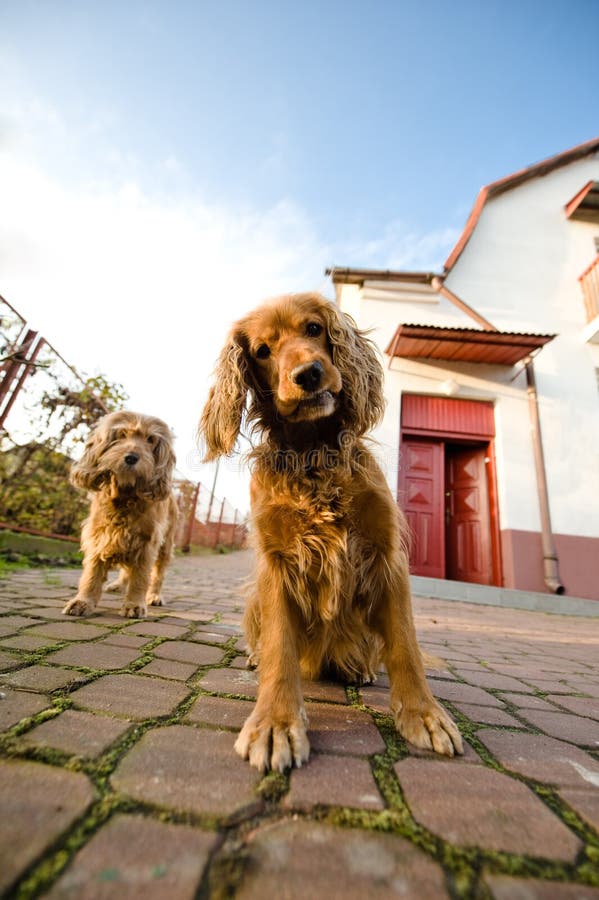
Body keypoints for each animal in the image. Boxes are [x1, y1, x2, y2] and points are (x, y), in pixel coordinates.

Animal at [65, 410, 179, 616]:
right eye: (122, 434)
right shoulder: (100, 534)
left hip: (166, 544)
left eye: (150, 439)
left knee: (158, 573)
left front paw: (134, 604)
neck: (126, 494)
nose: (131, 458)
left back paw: (154, 595)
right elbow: (92, 572)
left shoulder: (147, 540)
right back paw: (118, 585)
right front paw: (83, 601)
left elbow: (141, 576)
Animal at [202, 292, 464, 768]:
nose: (307, 373)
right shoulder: (277, 564)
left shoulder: (386, 557)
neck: (313, 455)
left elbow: (405, 645)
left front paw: (424, 714)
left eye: (313, 328)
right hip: (253, 597)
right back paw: (254, 657)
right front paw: (276, 723)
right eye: (262, 351)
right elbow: (280, 649)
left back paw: (361, 668)